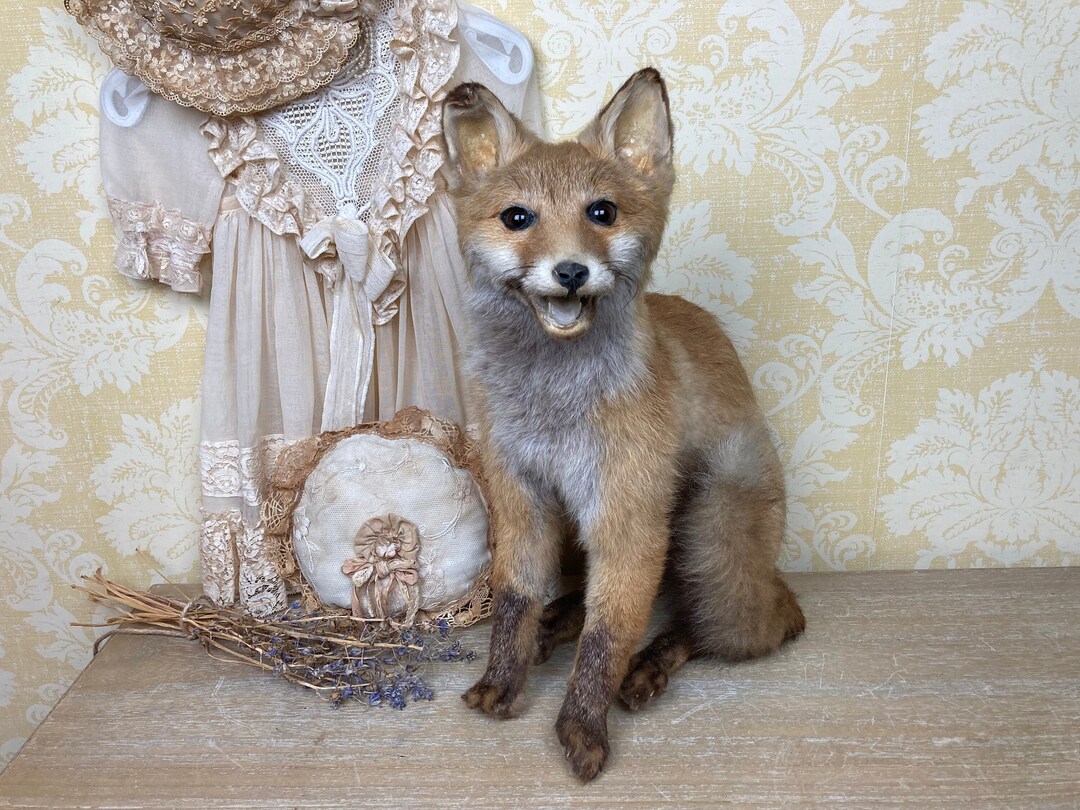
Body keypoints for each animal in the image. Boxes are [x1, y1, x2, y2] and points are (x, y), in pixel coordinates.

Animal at [441, 67, 806, 781]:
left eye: (601, 212)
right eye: (517, 218)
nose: (570, 271)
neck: (555, 408)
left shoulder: (629, 518)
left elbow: (606, 637)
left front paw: (583, 729)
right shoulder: (521, 496)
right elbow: (515, 601)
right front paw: (503, 682)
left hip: (709, 547)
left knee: (724, 627)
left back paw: (650, 667)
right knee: (582, 600)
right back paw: (556, 627)